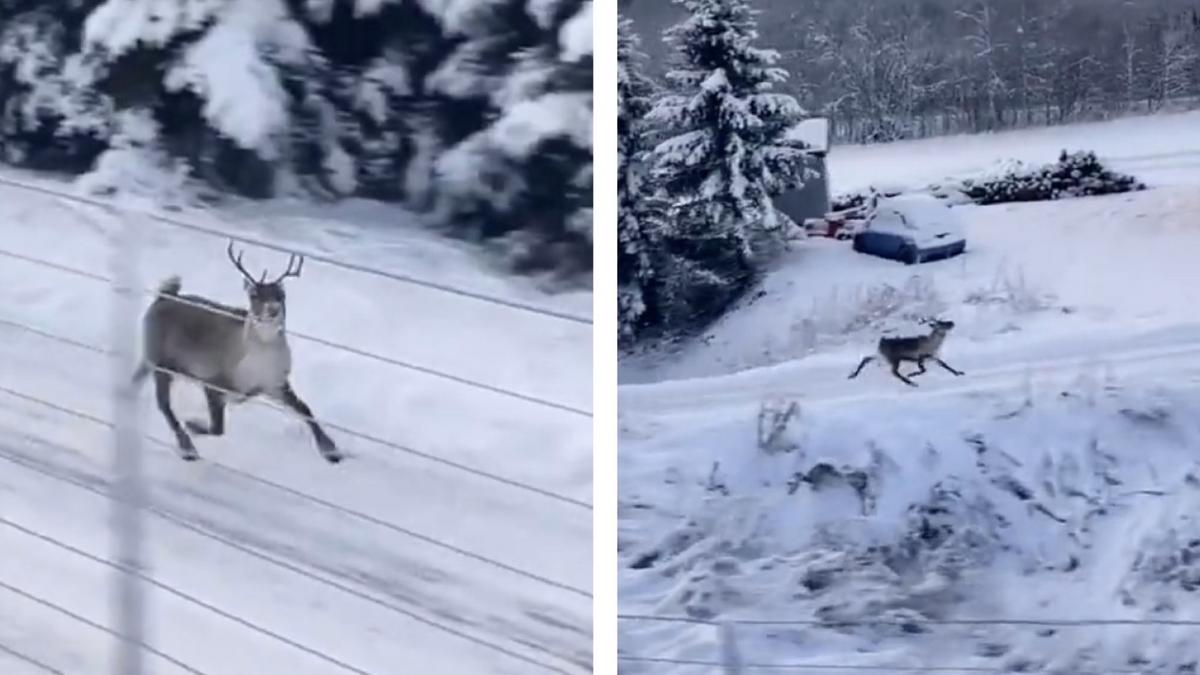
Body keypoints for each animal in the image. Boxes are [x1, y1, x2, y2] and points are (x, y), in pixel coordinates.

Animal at [131, 241, 341, 463]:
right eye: (254, 295)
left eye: (281, 295)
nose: (273, 309)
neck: (259, 364)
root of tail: (162, 297)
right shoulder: (213, 384)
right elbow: (218, 428)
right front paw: (193, 425)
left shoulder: (276, 384)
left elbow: (305, 408)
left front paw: (331, 450)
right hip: (162, 363)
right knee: (163, 404)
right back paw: (187, 448)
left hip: (152, 358)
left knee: (140, 377)